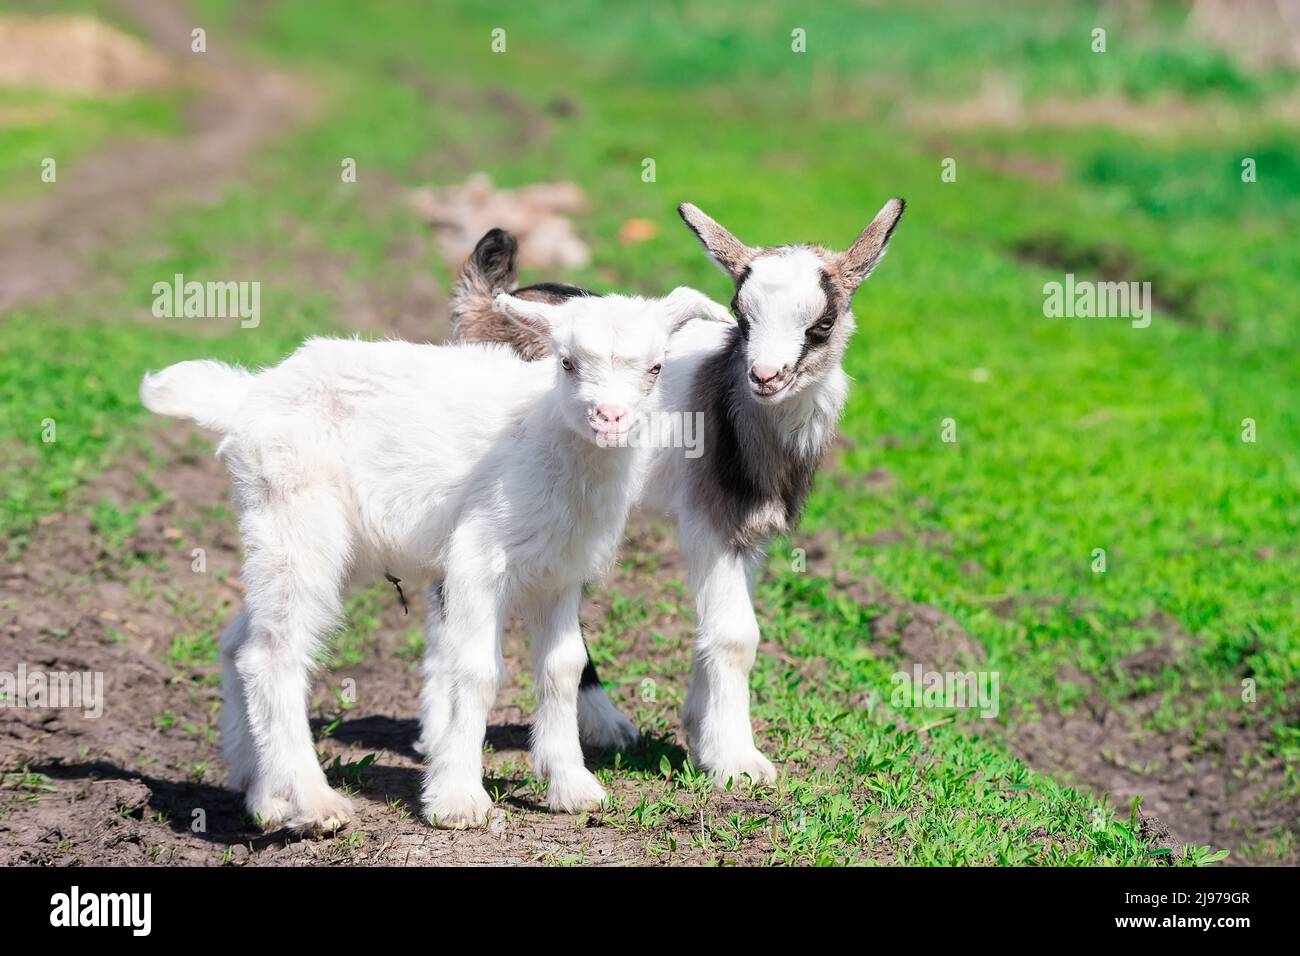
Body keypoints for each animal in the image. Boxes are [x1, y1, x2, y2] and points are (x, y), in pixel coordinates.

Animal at [140, 286, 729, 831]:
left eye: (655, 367)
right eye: (567, 362)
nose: (609, 416)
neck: (544, 437)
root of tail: (248, 397)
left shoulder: (560, 570)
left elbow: (563, 669)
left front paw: (572, 787)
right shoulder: (478, 555)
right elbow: (475, 670)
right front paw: (458, 799)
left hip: (295, 537)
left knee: (241, 642)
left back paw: (262, 795)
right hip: (298, 518)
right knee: (273, 656)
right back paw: (316, 803)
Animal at [450, 198, 905, 785]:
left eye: (824, 323)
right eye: (741, 315)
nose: (765, 375)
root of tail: (484, 303)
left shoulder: (747, 531)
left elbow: (718, 624)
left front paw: (703, 735)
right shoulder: (709, 519)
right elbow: (737, 635)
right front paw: (739, 761)